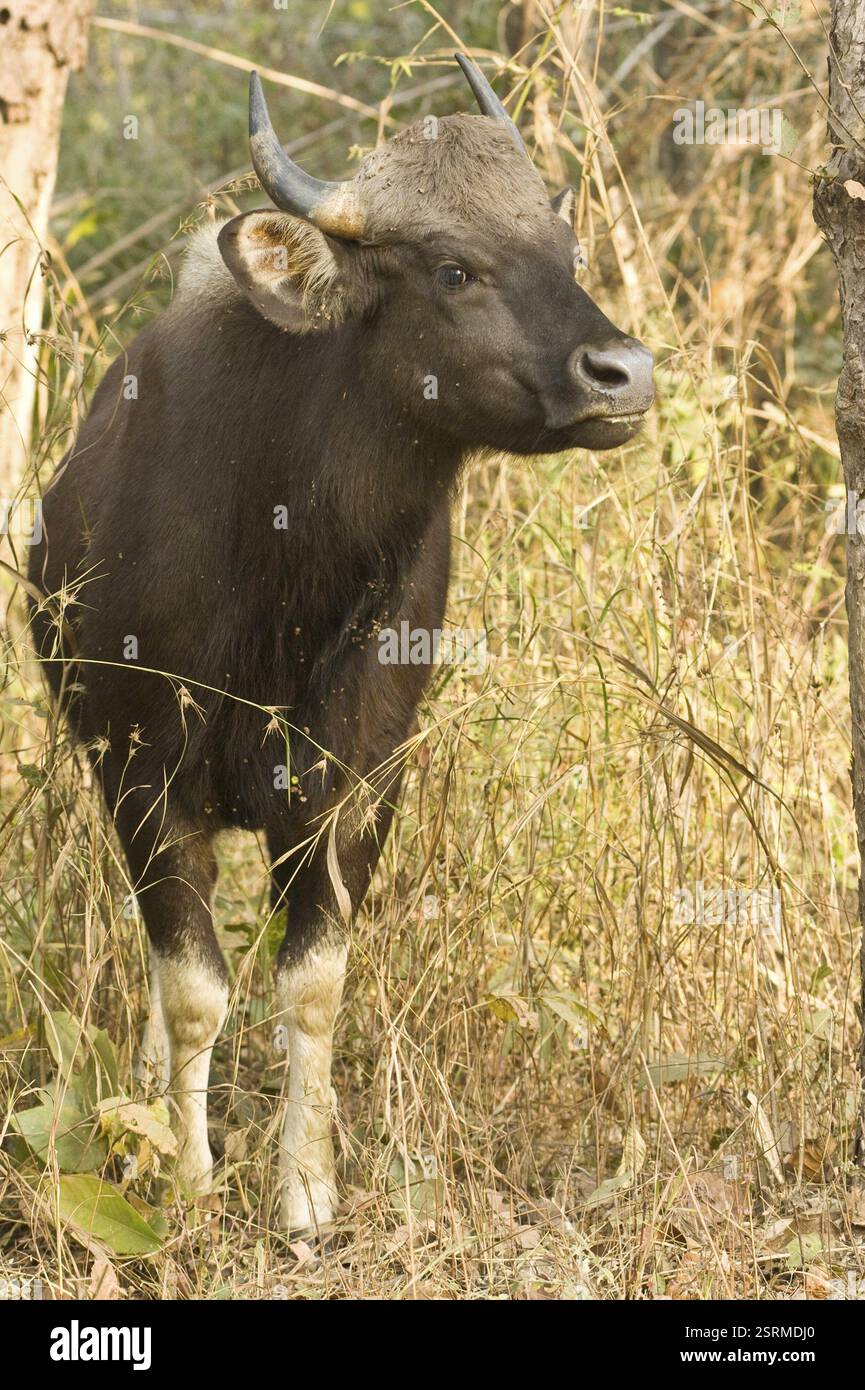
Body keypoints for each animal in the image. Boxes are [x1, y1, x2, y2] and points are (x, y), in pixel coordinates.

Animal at [29, 54, 654, 1235]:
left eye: (566, 251)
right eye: (453, 267)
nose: (624, 374)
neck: (281, 571)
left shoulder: (360, 778)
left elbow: (311, 982)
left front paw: (307, 1188)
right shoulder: (141, 768)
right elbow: (194, 987)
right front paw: (187, 1177)